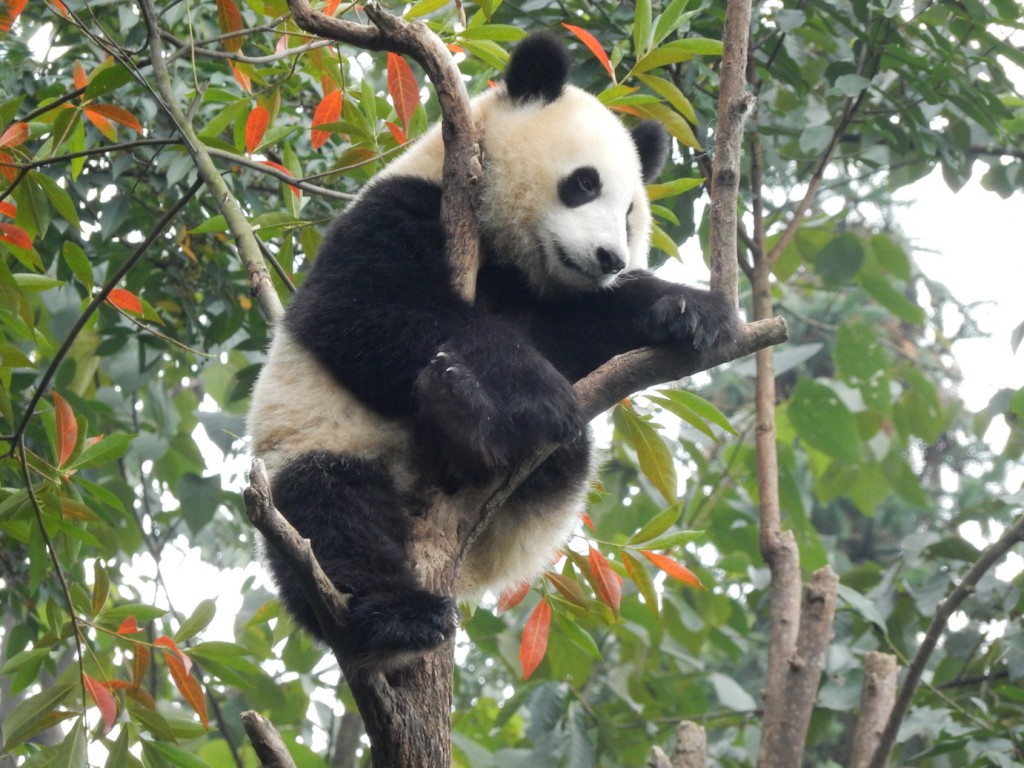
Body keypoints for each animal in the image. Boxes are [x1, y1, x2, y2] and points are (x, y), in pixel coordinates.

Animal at [247, 30, 737, 670]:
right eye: (585, 183)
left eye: (630, 214)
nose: (609, 257)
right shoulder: (399, 206)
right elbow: (365, 309)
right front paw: (537, 392)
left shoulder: (548, 296)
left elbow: (588, 327)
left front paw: (688, 311)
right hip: (315, 439)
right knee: (328, 515)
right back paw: (401, 612)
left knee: (568, 460)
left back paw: (472, 429)